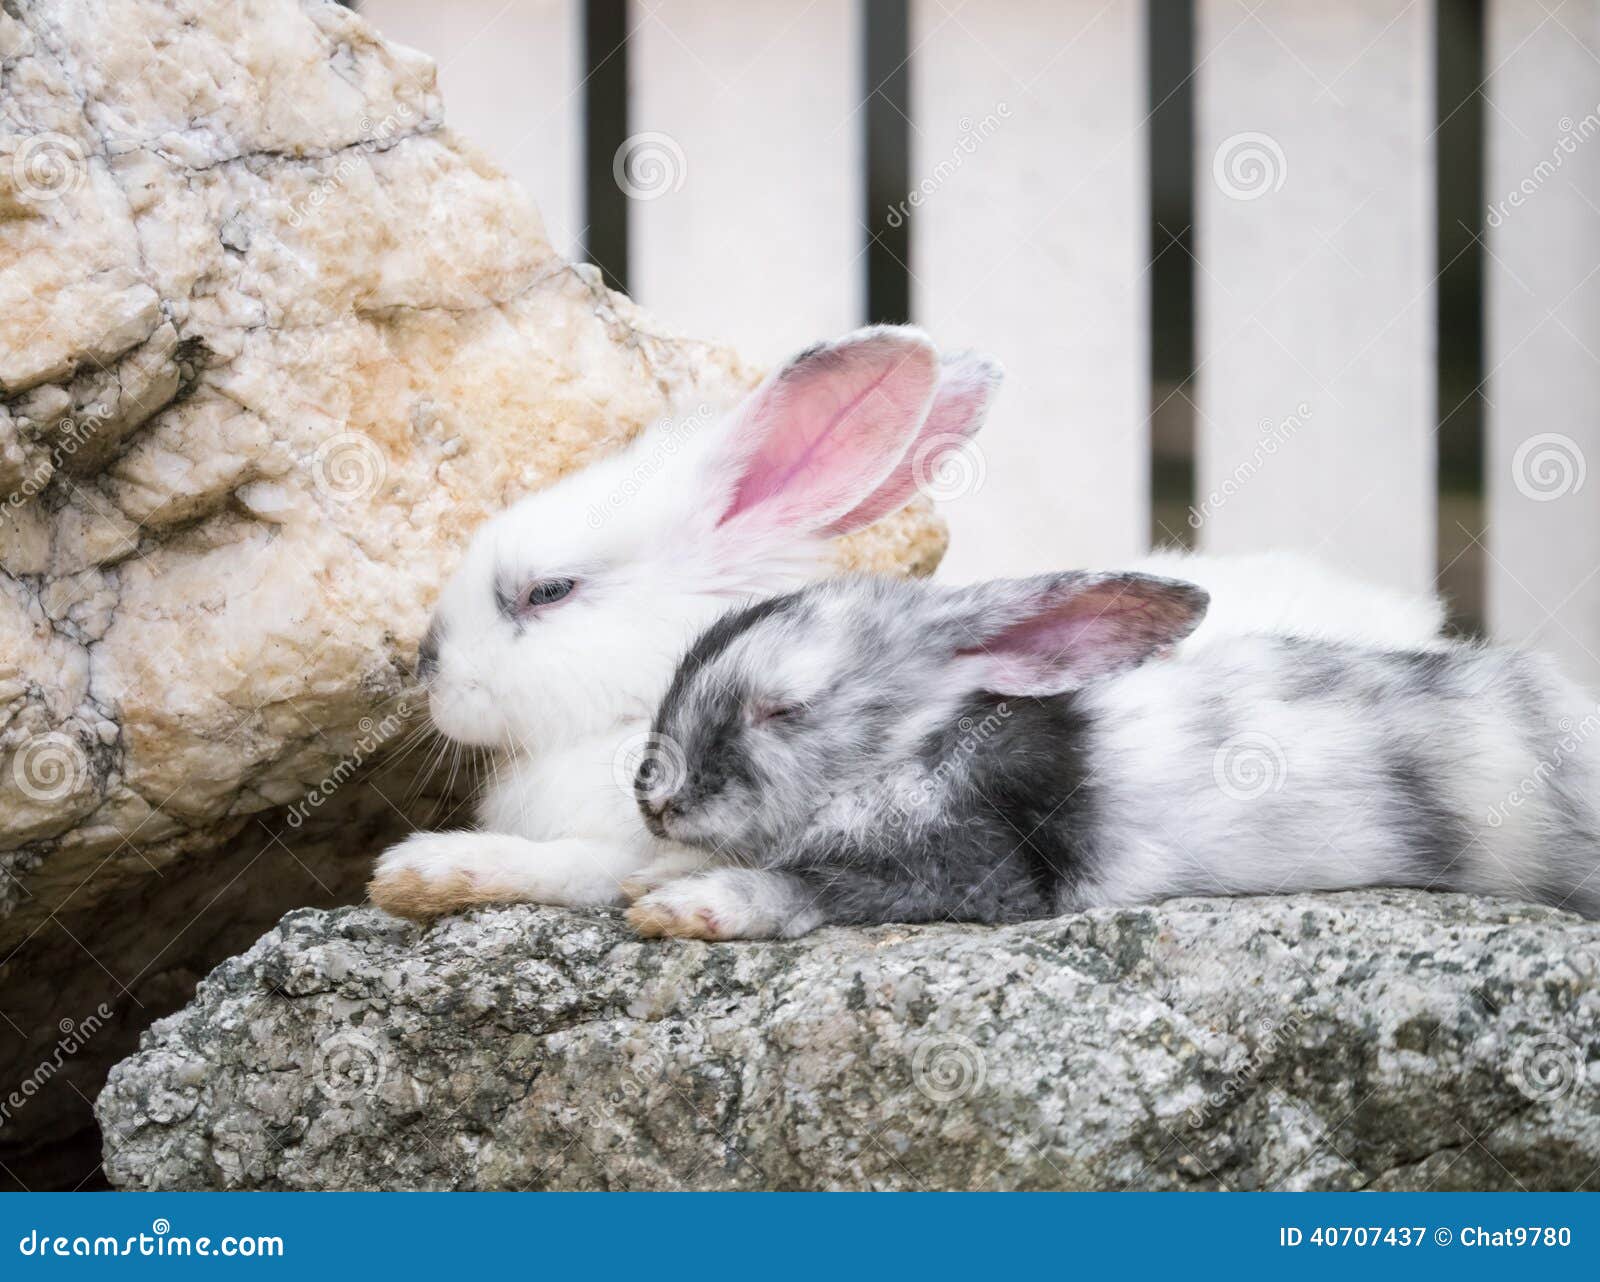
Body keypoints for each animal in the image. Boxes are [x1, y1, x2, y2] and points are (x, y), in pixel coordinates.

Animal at [368, 325, 1005, 921]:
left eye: (548, 592)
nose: (426, 665)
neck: (635, 708)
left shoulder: (633, 845)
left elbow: (568, 866)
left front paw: (421, 871)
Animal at [626, 571, 1600, 940]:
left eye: (783, 709)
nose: (654, 798)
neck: (918, 752)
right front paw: (649, 880)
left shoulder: (964, 874)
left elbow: (806, 888)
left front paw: (685, 909)